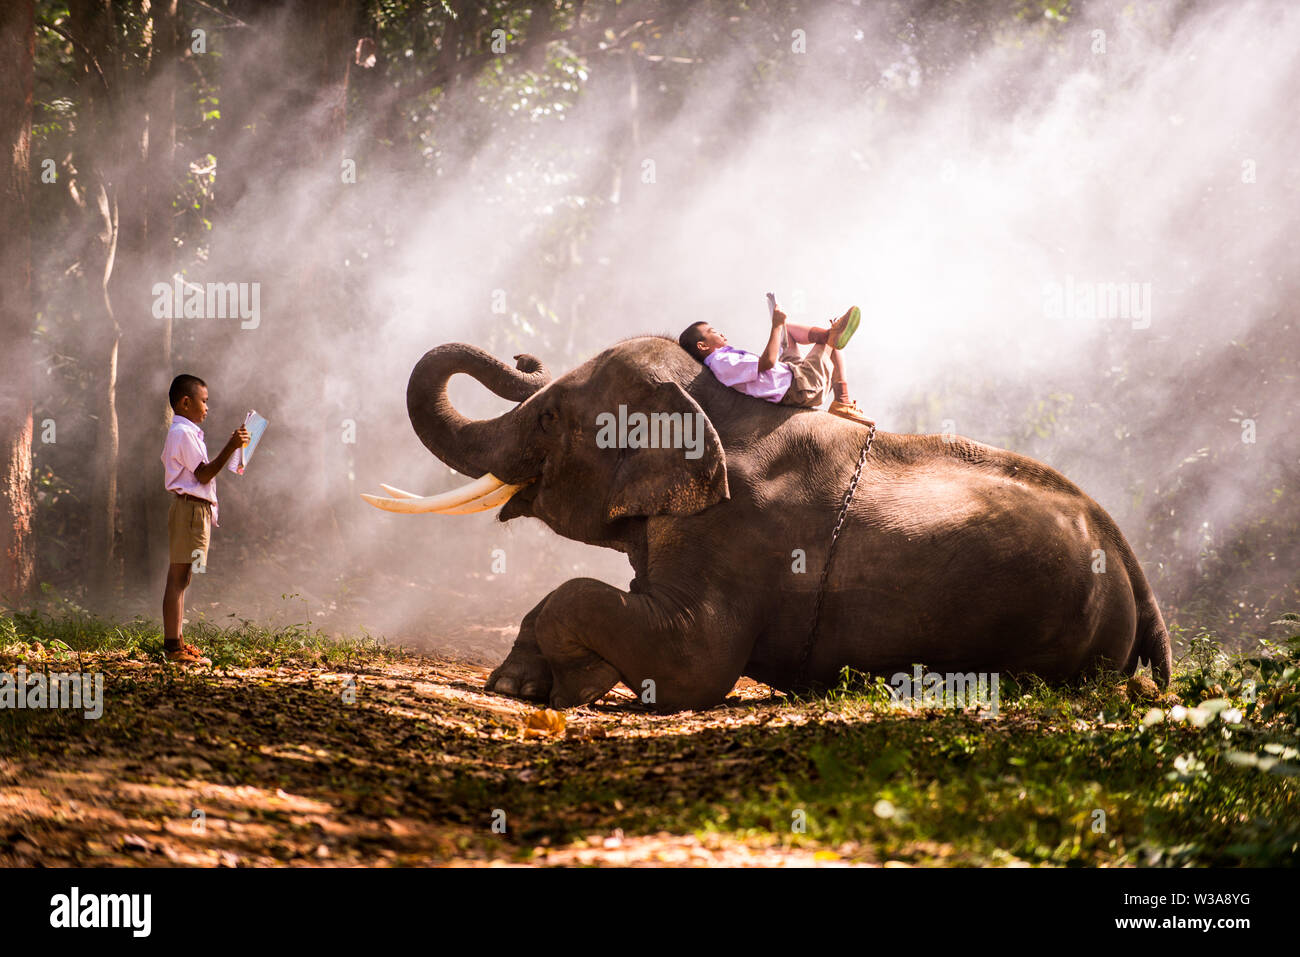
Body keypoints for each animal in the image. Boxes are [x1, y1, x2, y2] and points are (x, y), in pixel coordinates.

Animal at [363, 336, 1173, 712]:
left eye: (552, 417)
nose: (525, 354)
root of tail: (1134, 566)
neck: (717, 407)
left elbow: (693, 662)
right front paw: (516, 685)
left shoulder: (737, 533)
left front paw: (572, 686)